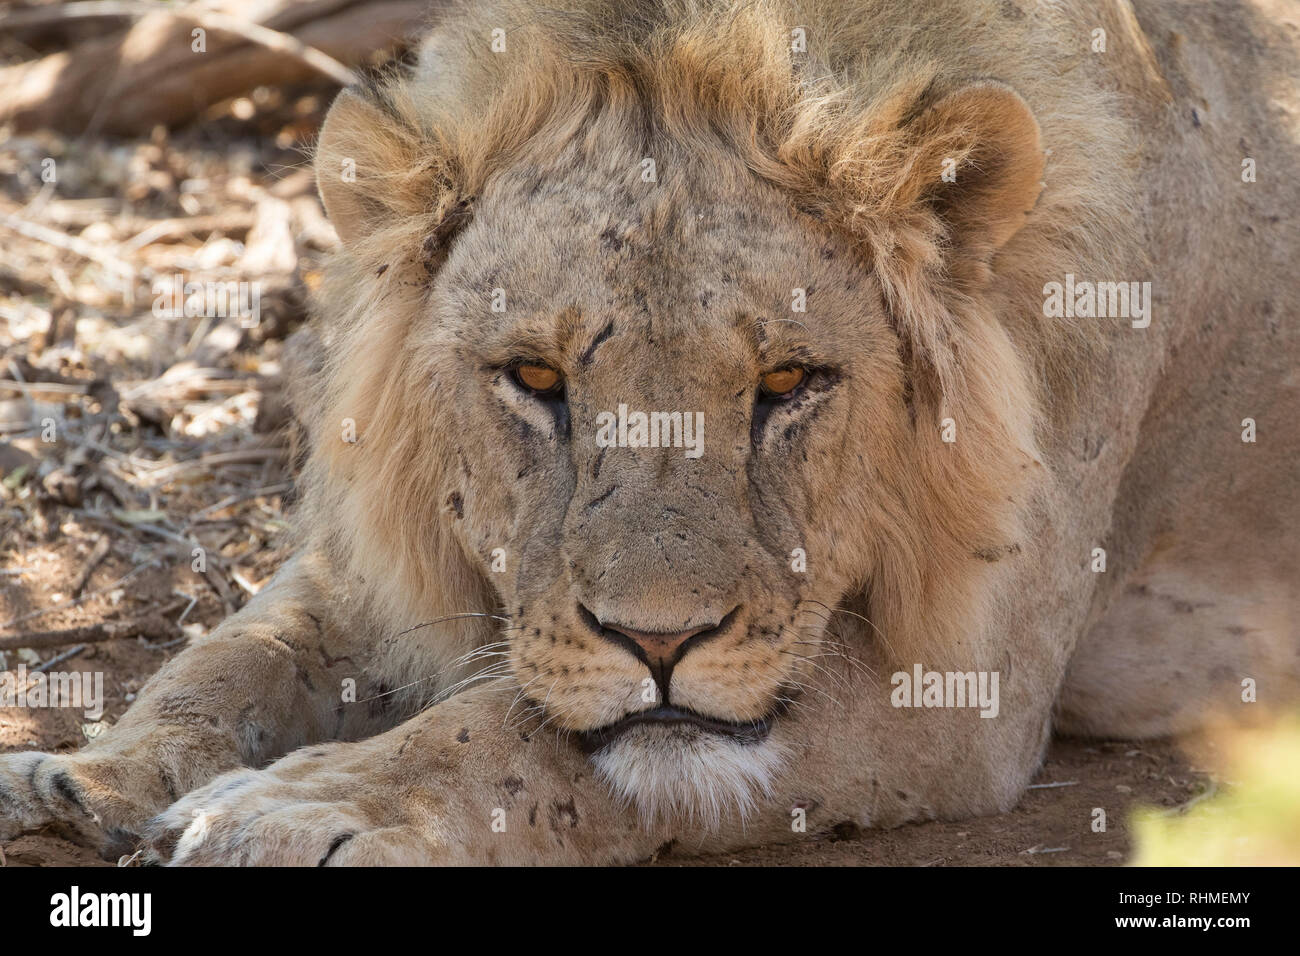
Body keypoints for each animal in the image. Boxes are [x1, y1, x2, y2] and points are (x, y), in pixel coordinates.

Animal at [2, 0, 1297, 865]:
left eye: (788, 380)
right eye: (534, 376)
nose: (658, 642)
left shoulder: (967, 688)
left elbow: (509, 730)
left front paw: (296, 809)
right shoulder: (369, 569)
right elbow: (233, 652)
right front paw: (87, 776)